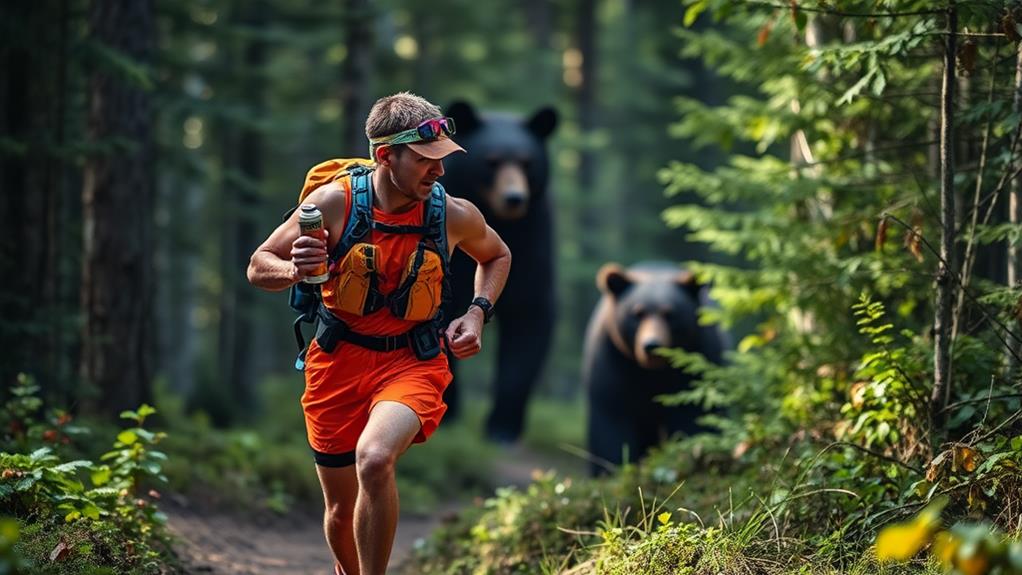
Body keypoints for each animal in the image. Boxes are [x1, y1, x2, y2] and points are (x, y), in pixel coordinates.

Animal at [439, 101, 559, 443]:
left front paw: (502, 428)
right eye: (491, 161)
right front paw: (447, 414)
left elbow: (529, 317)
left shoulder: (533, 243)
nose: (514, 198)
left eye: (527, 162)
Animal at [583, 262, 728, 476]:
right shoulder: (611, 362)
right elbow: (611, 423)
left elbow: (692, 415)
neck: (652, 372)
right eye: (637, 313)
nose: (651, 345)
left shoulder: (696, 359)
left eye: (670, 314)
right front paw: (612, 468)